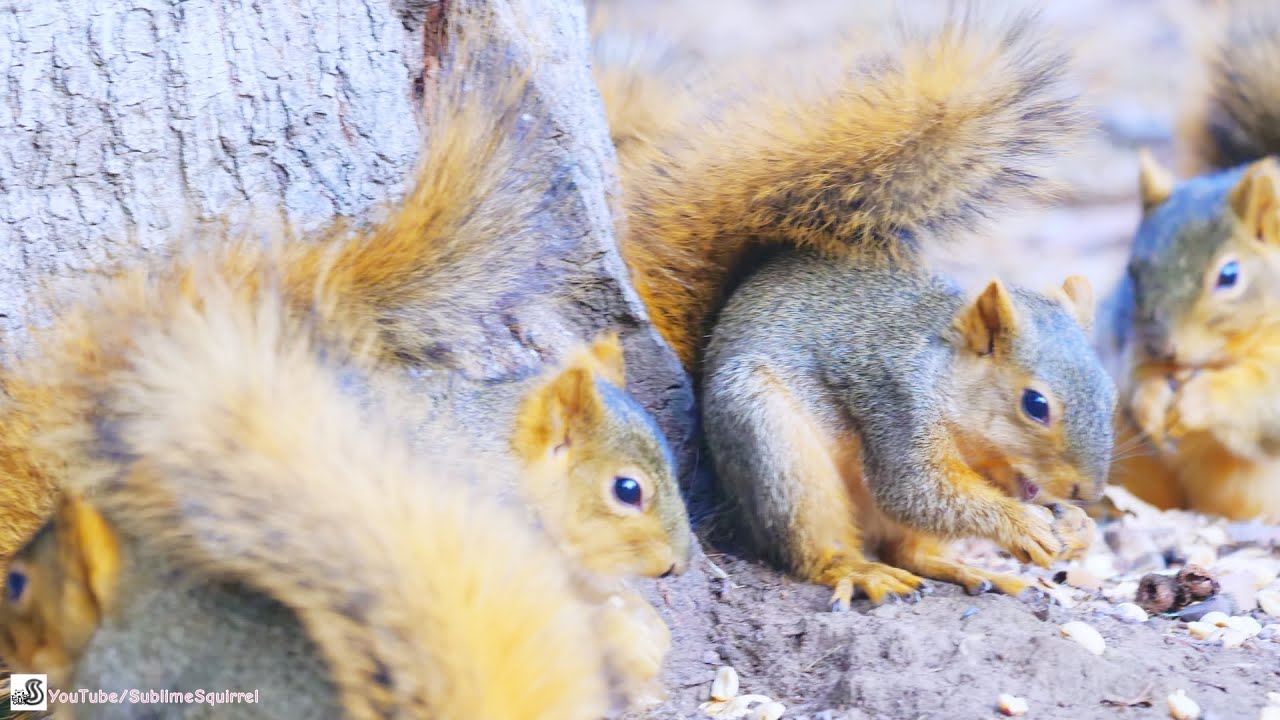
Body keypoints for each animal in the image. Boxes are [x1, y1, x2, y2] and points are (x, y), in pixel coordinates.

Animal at [596, 9, 1115, 607]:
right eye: (1035, 405)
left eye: (1110, 392)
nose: (1086, 490)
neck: (945, 380)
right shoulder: (896, 408)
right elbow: (918, 492)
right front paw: (1024, 524)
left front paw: (1078, 527)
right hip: (778, 451)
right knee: (820, 546)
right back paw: (860, 571)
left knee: (909, 549)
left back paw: (961, 567)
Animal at [1100, 0, 1280, 521]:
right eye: (1132, 271)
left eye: (1229, 275)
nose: (1167, 350)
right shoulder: (1120, 331)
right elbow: (1130, 367)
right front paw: (1151, 394)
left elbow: (1263, 395)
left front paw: (1204, 397)